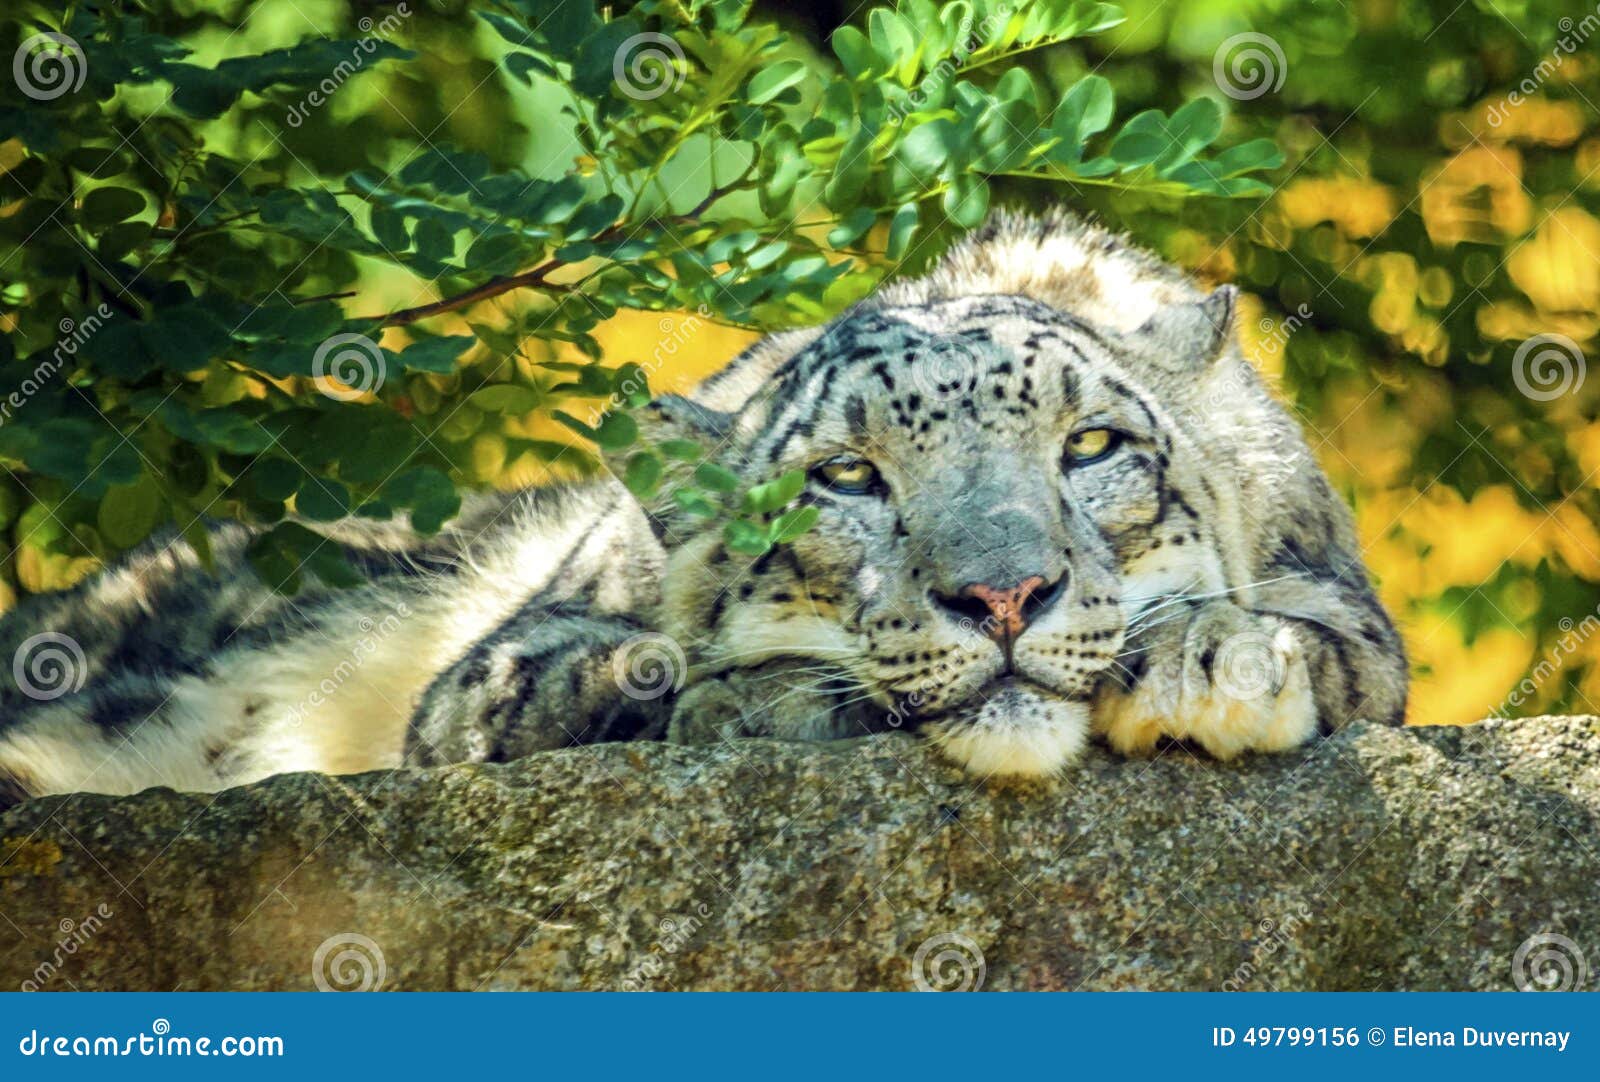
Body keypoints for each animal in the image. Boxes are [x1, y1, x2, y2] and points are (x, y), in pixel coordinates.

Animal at [0, 210, 1407, 807]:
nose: (1002, 595)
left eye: (1094, 443)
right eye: (845, 474)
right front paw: (756, 698)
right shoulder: (482, 677)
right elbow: (561, 678)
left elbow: (1343, 645)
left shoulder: (1339, 594)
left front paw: (1209, 655)